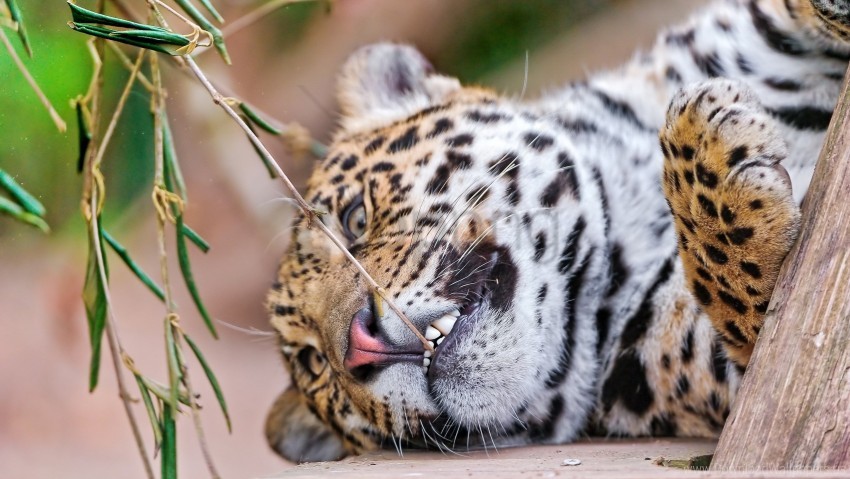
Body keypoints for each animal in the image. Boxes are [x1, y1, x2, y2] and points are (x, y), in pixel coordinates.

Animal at [264, 0, 850, 463]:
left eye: (354, 218)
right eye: (314, 364)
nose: (360, 347)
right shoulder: (736, 374)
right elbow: (752, 302)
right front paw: (704, 143)